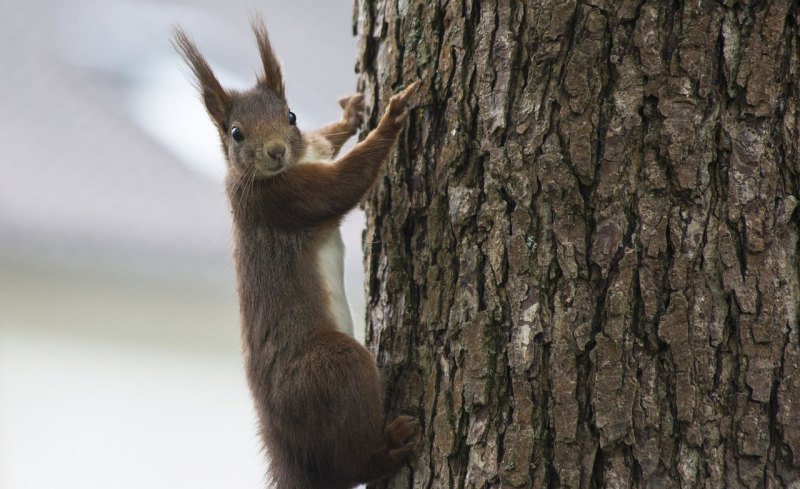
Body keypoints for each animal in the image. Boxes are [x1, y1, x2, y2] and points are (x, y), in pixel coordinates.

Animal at [174, 18, 422, 488]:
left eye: (290, 114)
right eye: (236, 133)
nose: (276, 151)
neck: (288, 166)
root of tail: (285, 448)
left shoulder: (311, 151)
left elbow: (326, 140)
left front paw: (353, 113)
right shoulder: (285, 201)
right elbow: (344, 184)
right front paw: (391, 118)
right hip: (332, 368)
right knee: (348, 465)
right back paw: (387, 450)